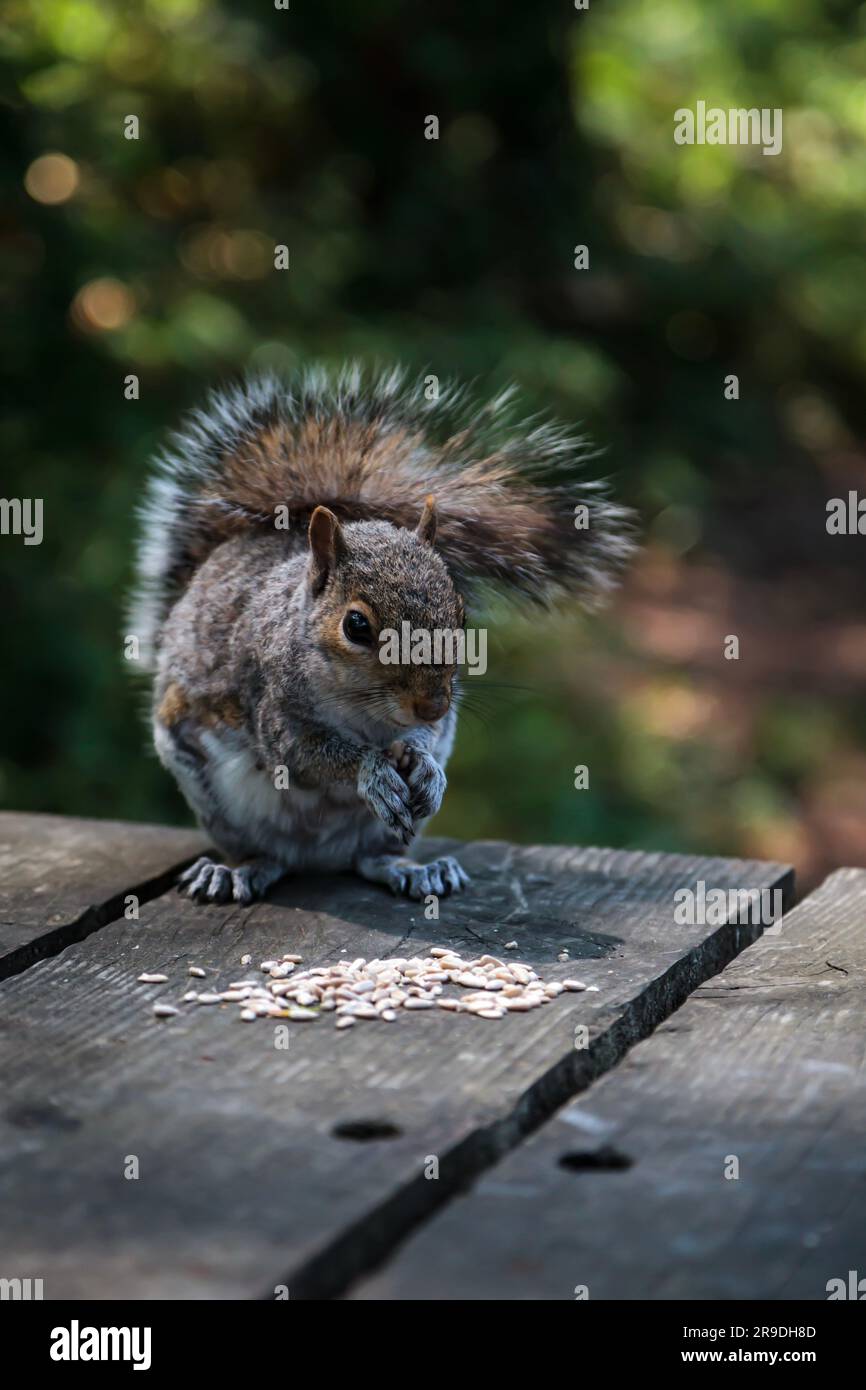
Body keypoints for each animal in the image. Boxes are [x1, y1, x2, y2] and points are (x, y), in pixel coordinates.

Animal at [129, 365, 634, 905]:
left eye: (461, 615)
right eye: (356, 626)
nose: (433, 705)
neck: (361, 706)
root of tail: (315, 858)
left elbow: (423, 741)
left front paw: (427, 767)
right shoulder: (272, 708)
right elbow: (305, 753)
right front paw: (371, 771)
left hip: (376, 834)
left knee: (370, 858)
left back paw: (416, 869)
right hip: (215, 801)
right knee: (263, 853)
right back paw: (238, 871)